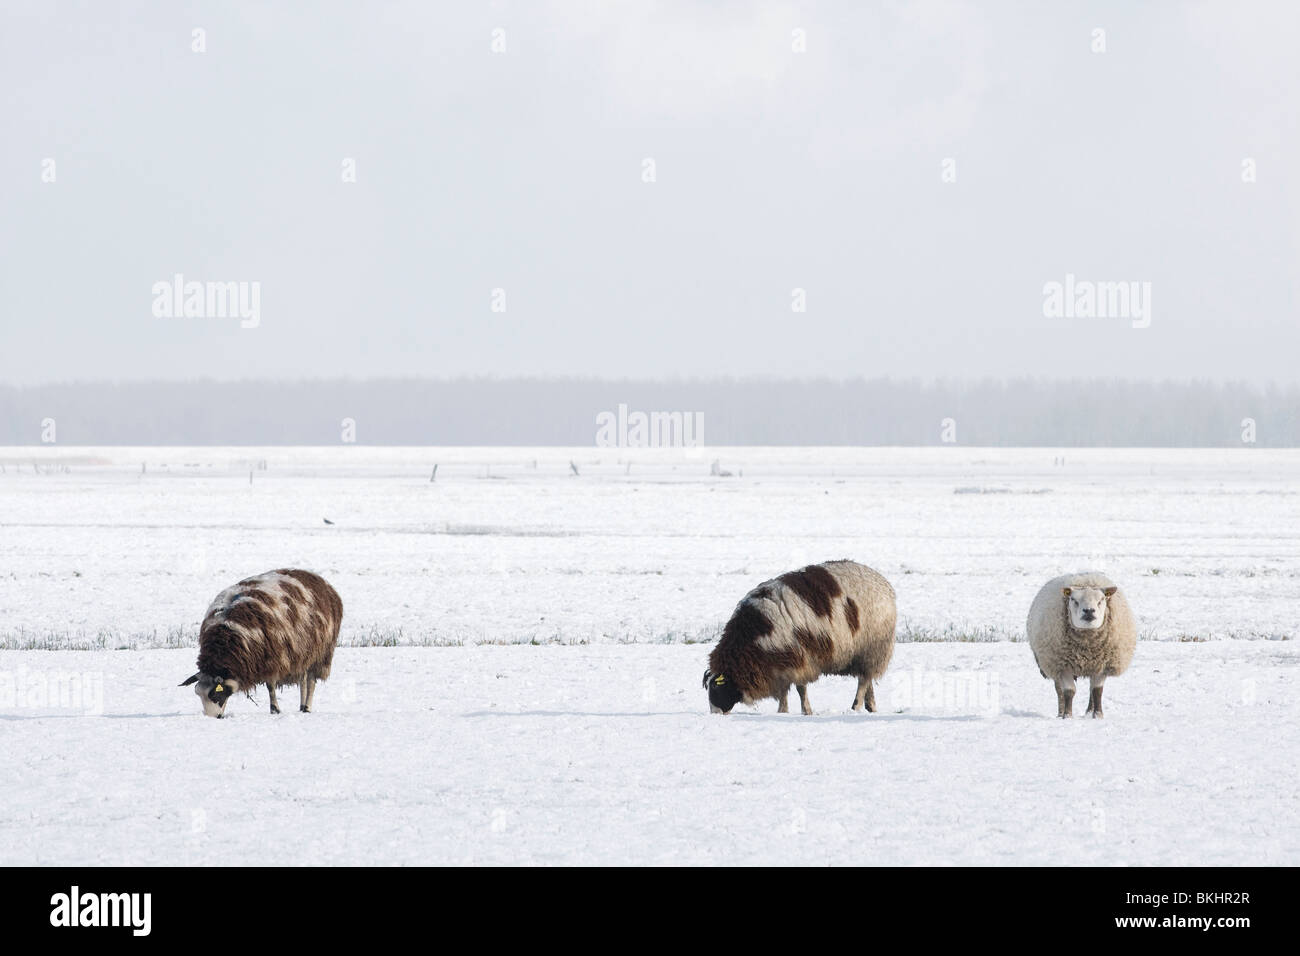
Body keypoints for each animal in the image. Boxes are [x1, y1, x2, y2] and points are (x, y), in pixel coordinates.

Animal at [180, 568, 343, 718]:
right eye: (198, 694)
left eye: (215, 694)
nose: (213, 717)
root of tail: (319, 579)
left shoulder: (273, 659)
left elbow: (271, 687)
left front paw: (275, 709)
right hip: (303, 652)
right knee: (303, 679)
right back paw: (302, 706)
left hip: (321, 653)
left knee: (311, 681)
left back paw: (307, 707)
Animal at [703, 560, 896, 715]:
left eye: (716, 688)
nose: (715, 714)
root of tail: (884, 583)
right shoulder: (781, 665)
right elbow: (784, 691)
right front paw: (783, 711)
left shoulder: (800, 660)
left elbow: (800, 689)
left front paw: (804, 711)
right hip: (864, 654)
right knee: (868, 678)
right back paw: (871, 706)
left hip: (873, 647)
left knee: (863, 681)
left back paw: (855, 707)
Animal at [1026, 572, 1135, 718]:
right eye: (1074, 600)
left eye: (1101, 599)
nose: (1088, 611)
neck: (1087, 647)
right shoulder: (1062, 666)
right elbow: (1069, 691)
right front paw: (1067, 715)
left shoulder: (1102, 665)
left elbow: (1097, 691)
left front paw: (1098, 715)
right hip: (1052, 665)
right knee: (1059, 690)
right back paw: (1060, 712)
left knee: (1090, 689)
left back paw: (1089, 711)